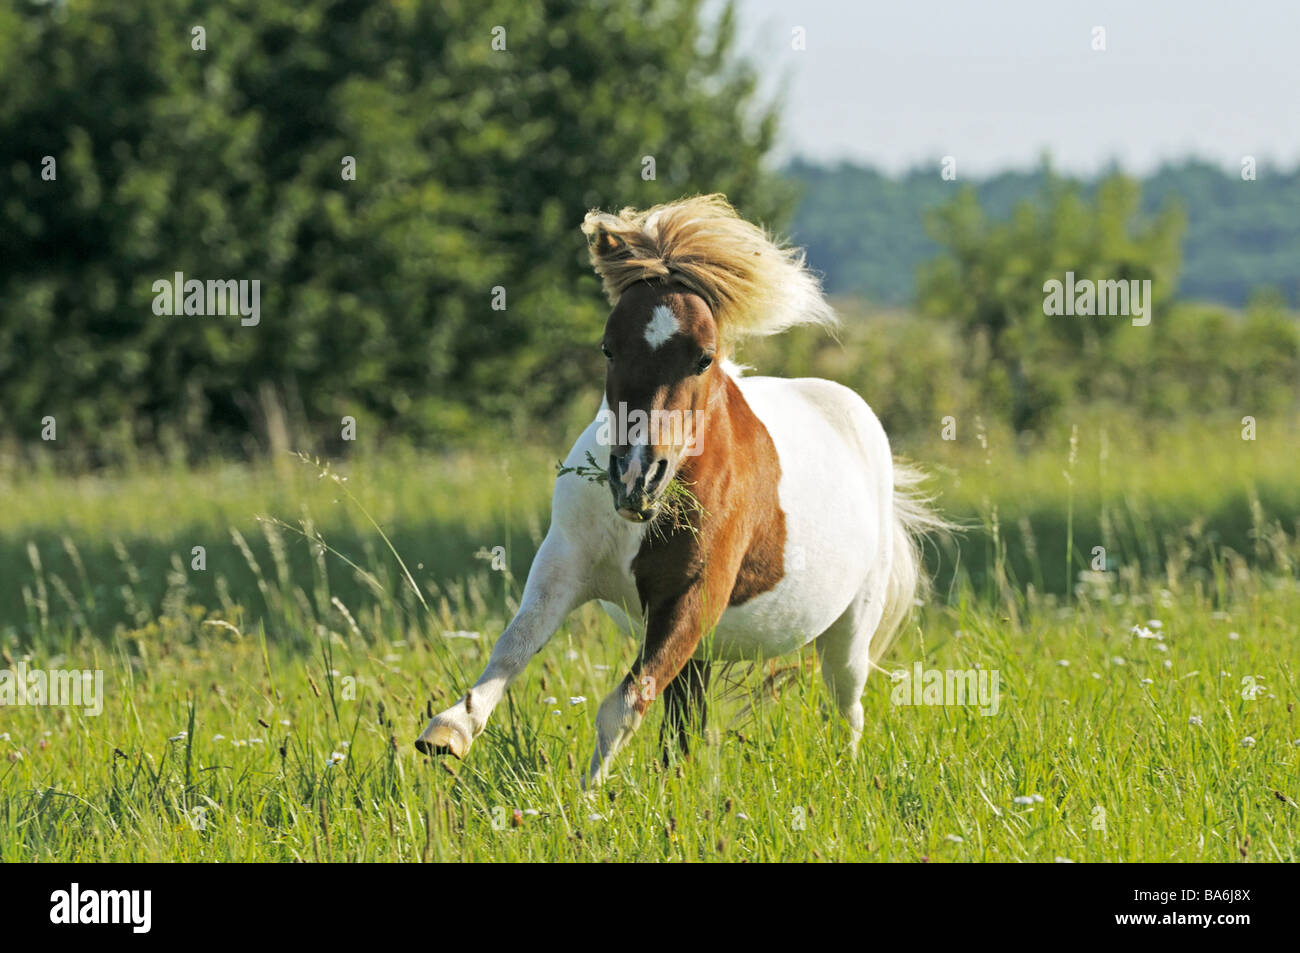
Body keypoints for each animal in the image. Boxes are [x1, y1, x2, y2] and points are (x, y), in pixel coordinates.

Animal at [416, 194, 947, 787]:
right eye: (608, 347)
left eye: (704, 357)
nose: (637, 479)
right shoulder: (564, 564)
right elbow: (516, 644)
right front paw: (447, 732)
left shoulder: (693, 596)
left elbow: (624, 703)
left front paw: (587, 796)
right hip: (702, 647)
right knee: (687, 716)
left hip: (850, 627)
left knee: (847, 705)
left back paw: (846, 773)